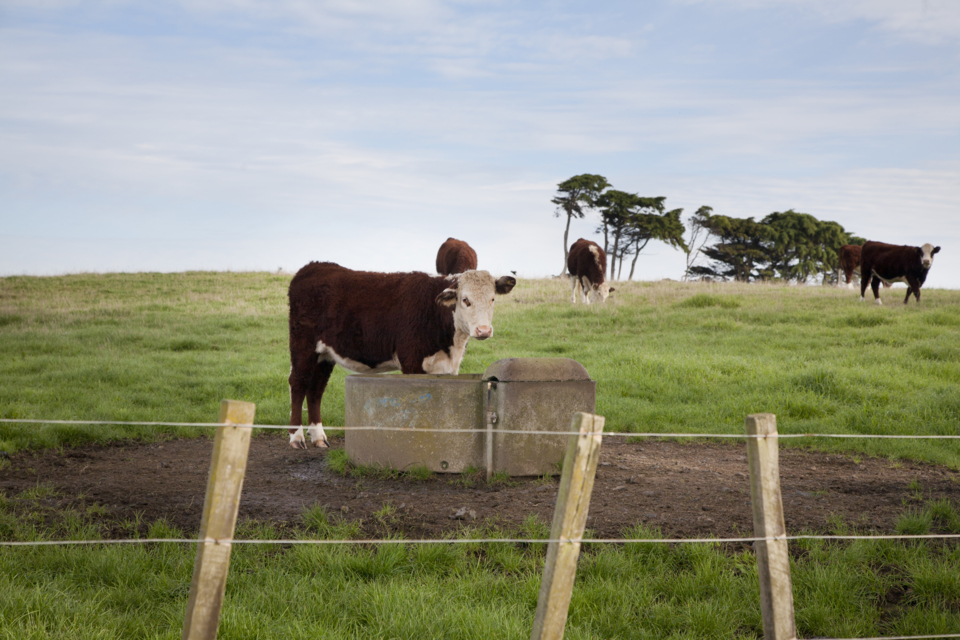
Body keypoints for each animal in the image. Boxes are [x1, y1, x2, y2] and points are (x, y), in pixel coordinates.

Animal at [287, 262, 516, 448]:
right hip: (303, 346)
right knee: (298, 383)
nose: (484, 330)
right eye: (465, 299)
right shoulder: (412, 362)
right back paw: (296, 437)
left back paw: (318, 437)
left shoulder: (447, 367)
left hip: (324, 355)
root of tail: (314, 266)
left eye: (492, 299)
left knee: (315, 389)